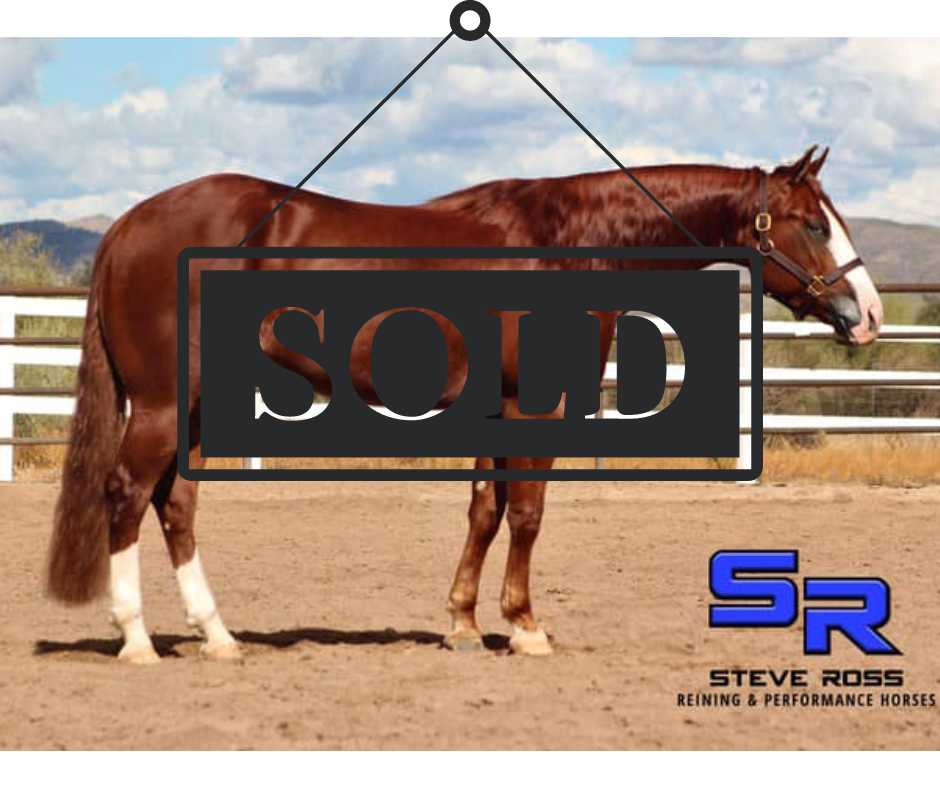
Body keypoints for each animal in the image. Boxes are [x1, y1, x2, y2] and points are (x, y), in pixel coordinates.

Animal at [46, 145, 882, 663]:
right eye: (814, 223)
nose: (869, 314)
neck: (567, 244)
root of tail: (130, 223)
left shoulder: (495, 409)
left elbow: (484, 509)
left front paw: (461, 624)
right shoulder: (537, 410)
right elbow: (527, 513)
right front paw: (526, 627)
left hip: (196, 406)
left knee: (176, 504)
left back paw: (217, 636)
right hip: (162, 404)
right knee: (127, 493)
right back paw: (137, 640)